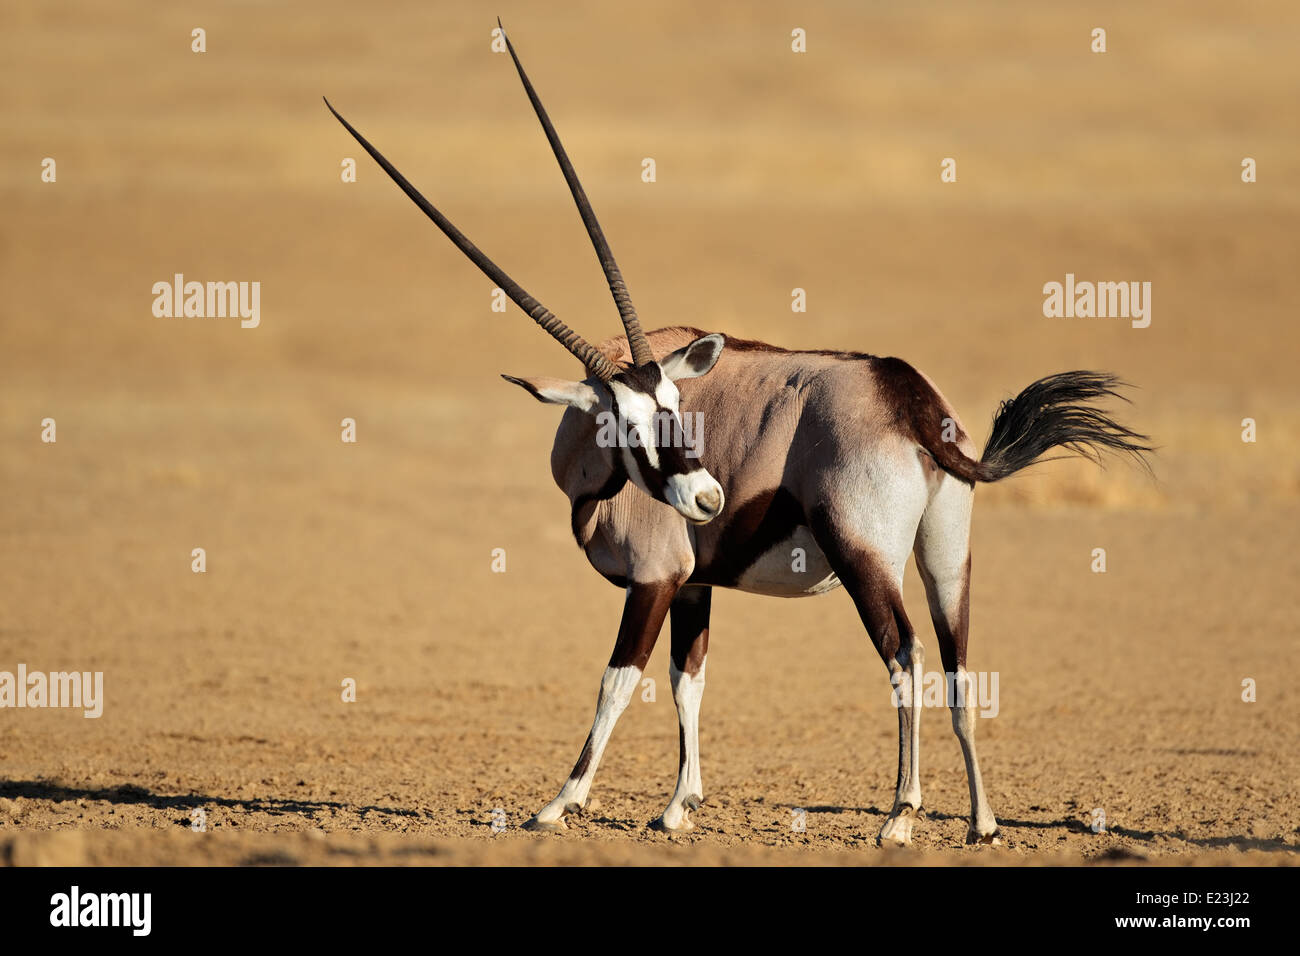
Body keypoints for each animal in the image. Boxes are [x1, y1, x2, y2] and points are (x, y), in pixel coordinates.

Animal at [325, 24, 1151, 846]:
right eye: (634, 416)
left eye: (675, 402)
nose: (709, 497)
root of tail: (906, 395)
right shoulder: (694, 584)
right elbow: (687, 680)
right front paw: (677, 805)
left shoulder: (656, 578)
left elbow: (618, 681)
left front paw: (561, 803)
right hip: (945, 554)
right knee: (957, 661)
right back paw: (980, 822)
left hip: (865, 557)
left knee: (904, 652)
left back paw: (900, 814)